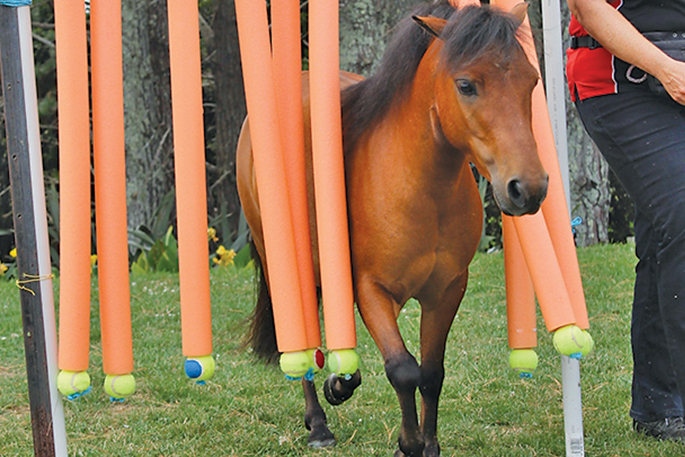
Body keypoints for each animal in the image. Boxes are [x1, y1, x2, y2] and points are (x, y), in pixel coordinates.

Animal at [235, 2, 548, 456]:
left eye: (531, 81)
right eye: (467, 85)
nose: (528, 187)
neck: (424, 191)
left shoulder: (446, 290)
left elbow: (431, 372)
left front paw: (427, 443)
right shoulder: (372, 290)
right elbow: (403, 368)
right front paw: (409, 442)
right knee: (304, 342)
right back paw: (319, 423)